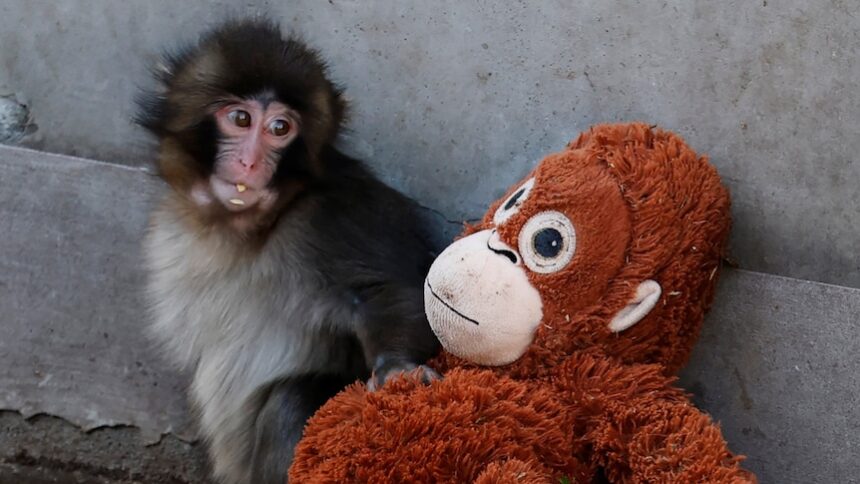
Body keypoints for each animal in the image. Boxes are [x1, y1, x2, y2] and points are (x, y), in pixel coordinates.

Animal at [135, 19, 441, 484]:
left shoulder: (334, 216)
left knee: (291, 402)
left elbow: (388, 290)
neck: (248, 228)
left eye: (280, 129)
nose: (249, 162)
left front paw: (396, 369)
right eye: (240, 119)